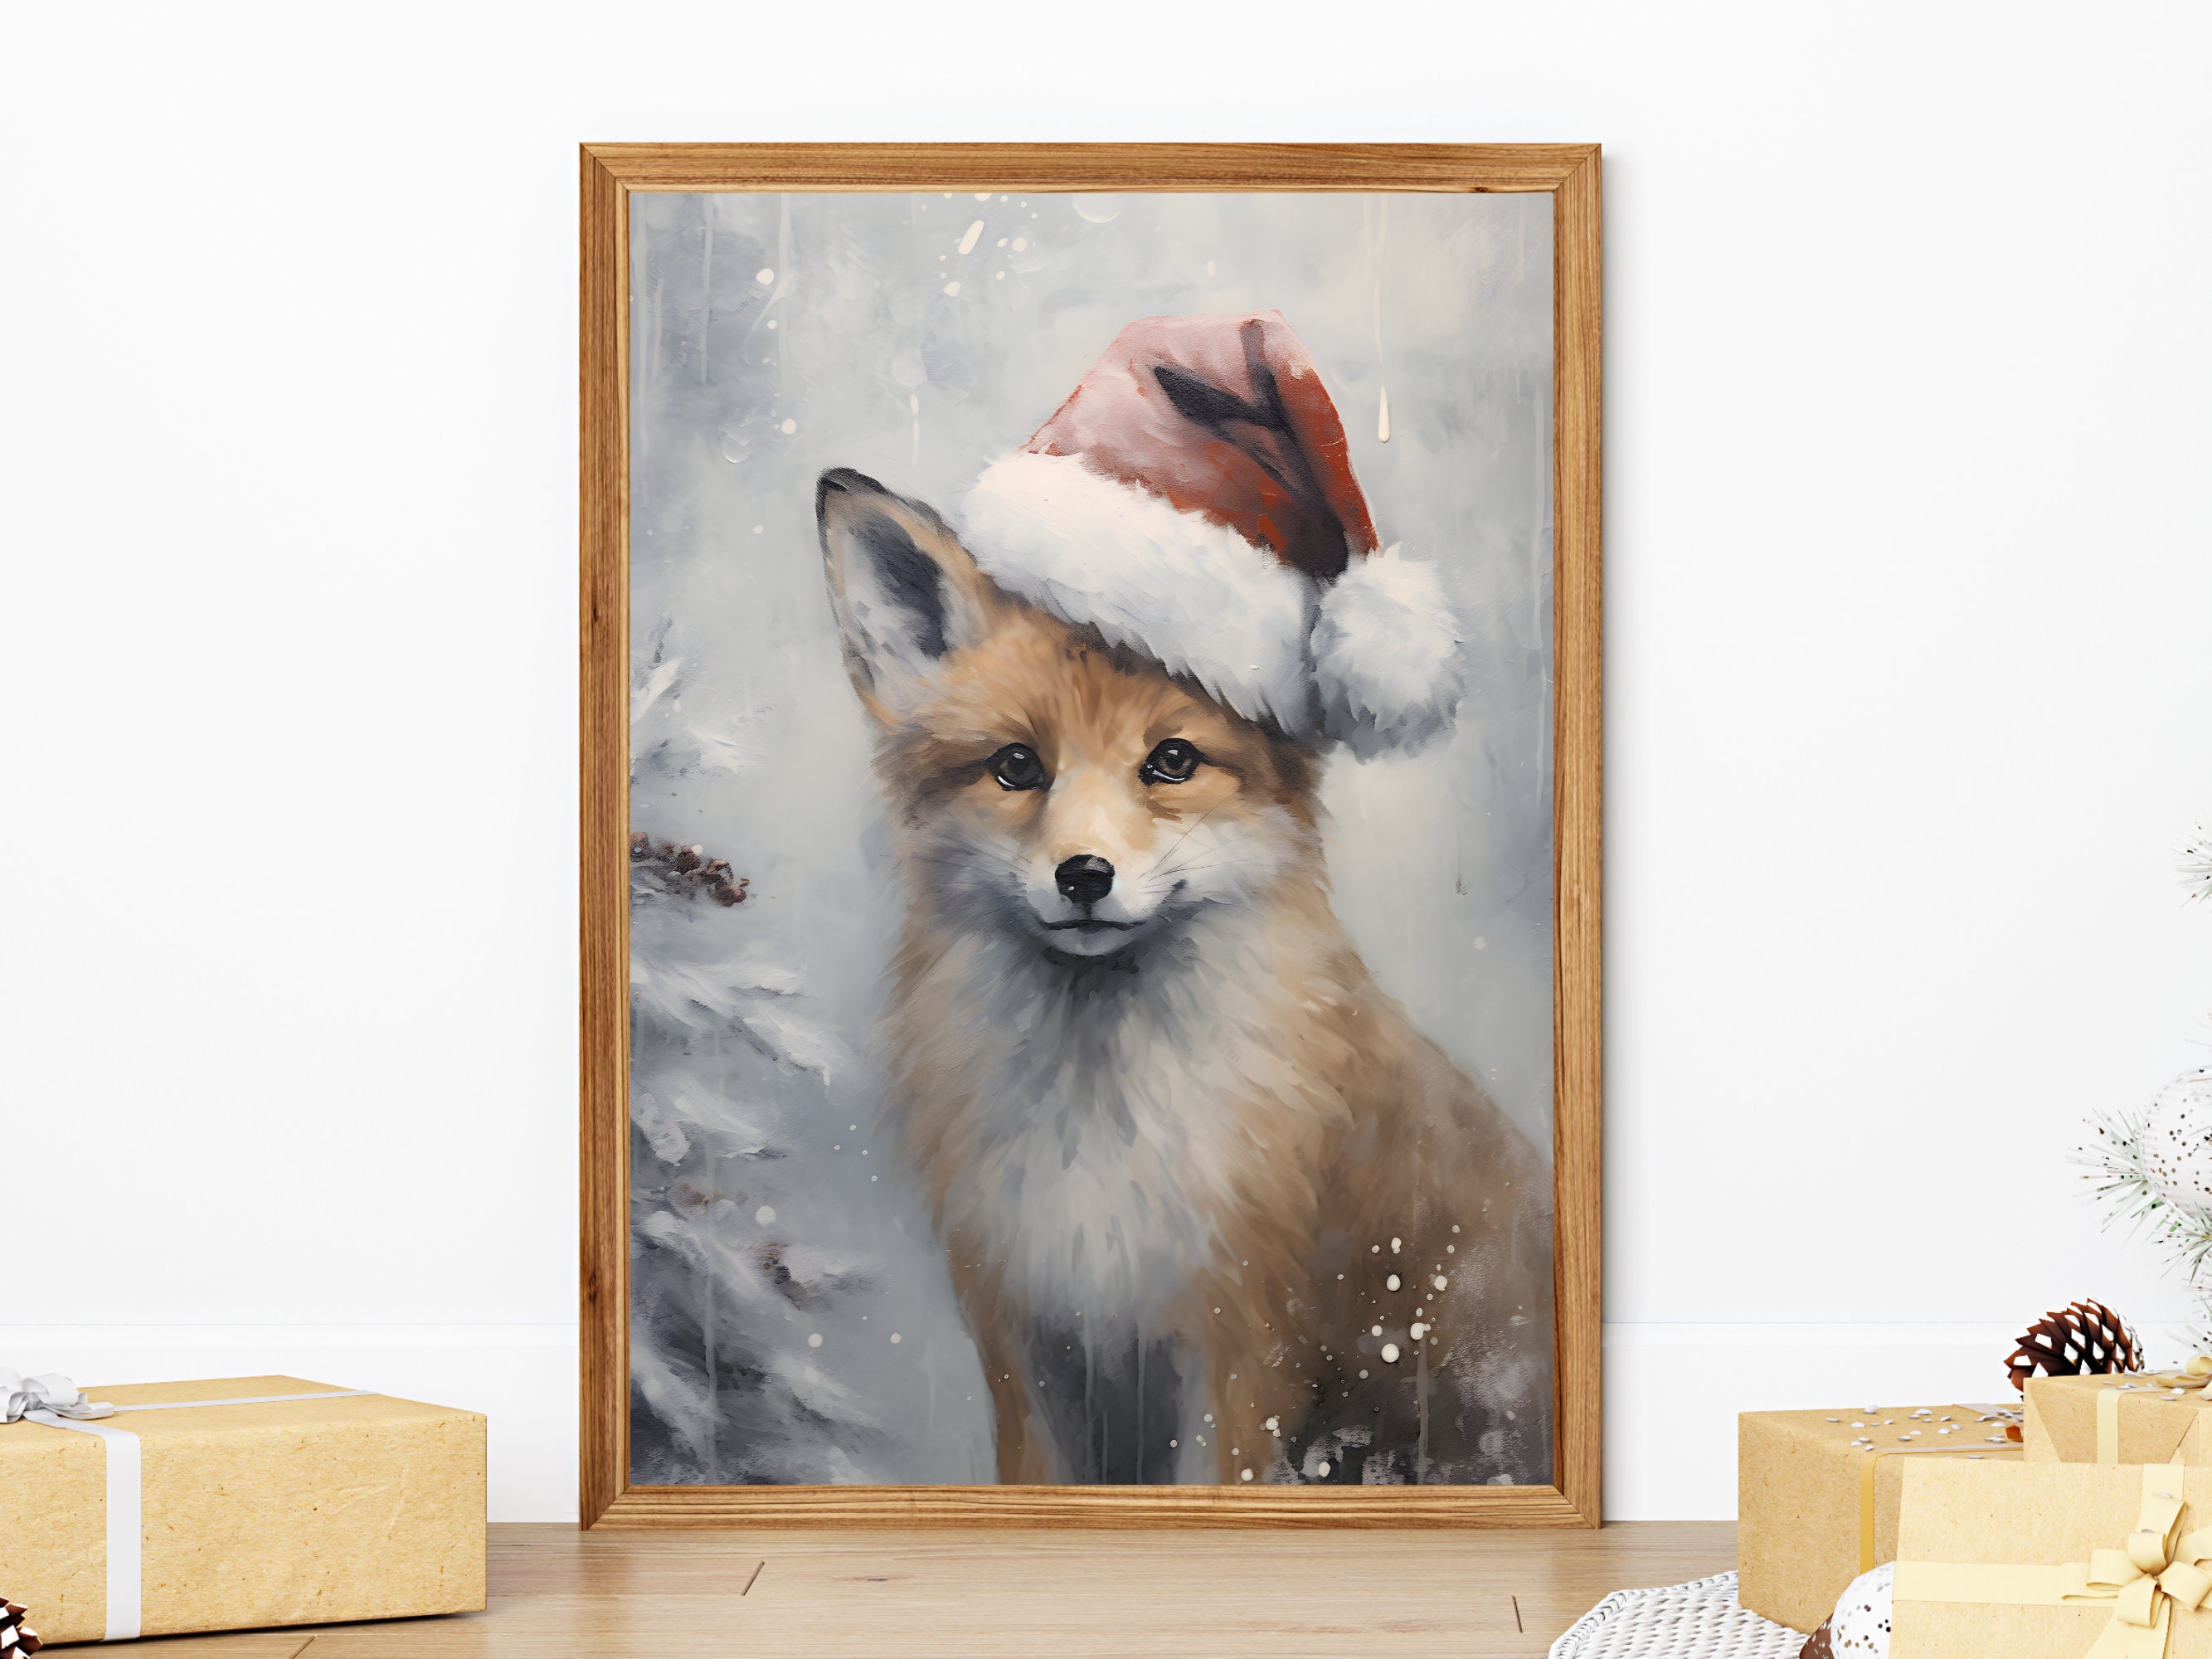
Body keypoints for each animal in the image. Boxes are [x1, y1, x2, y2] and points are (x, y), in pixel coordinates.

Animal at [816, 464, 1554, 1487]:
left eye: (1171, 760)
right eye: (1016, 765)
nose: (1083, 875)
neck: (1100, 1126)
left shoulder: (1237, 1343)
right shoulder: (1026, 1338)